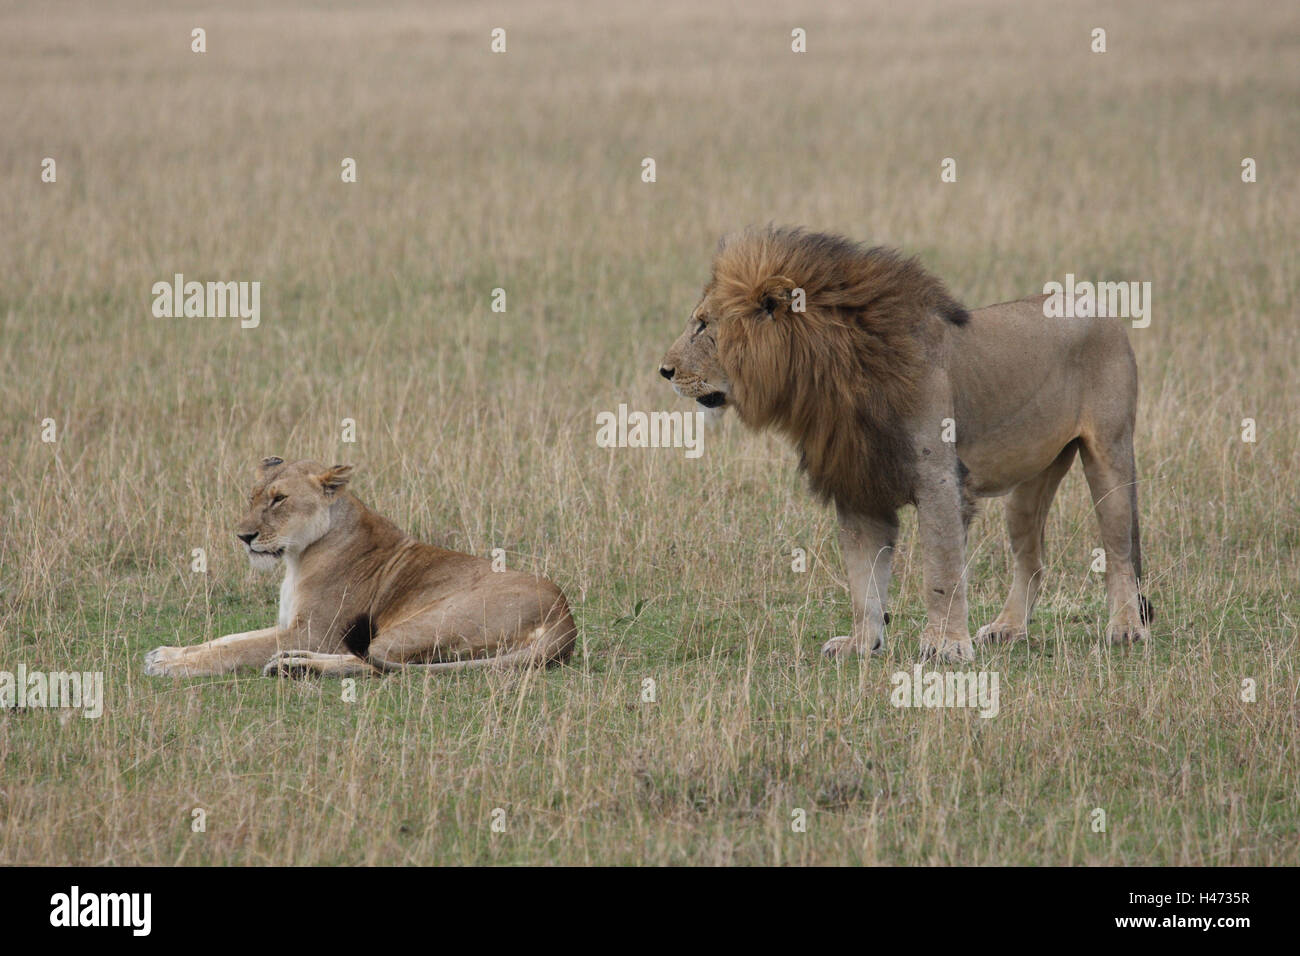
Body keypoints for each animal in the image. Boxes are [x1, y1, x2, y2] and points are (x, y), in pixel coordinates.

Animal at [143, 457, 576, 677]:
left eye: (280, 499)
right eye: (253, 496)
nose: (243, 536)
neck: (298, 556)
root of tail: (565, 622)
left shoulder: (315, 631)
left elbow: (236, 650)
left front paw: (171, 667)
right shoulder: (290, 625)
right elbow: (229, 638)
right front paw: (167, 652)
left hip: (411, 628)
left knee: (374, 665)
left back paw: (295, 666)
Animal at [660, 226, 1151, 661]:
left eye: (702, 325)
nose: (664, 371)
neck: (832, 373)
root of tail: (1100, 306)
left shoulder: (939, 481)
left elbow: (941, 569)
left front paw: (946, 645)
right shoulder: (858, 488)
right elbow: (863, 582)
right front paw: (861, 644)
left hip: (1109, 455)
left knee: (1119, 553)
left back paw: (1126, 629)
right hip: (1029, 483)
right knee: (1032, 561)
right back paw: (1008, 629)